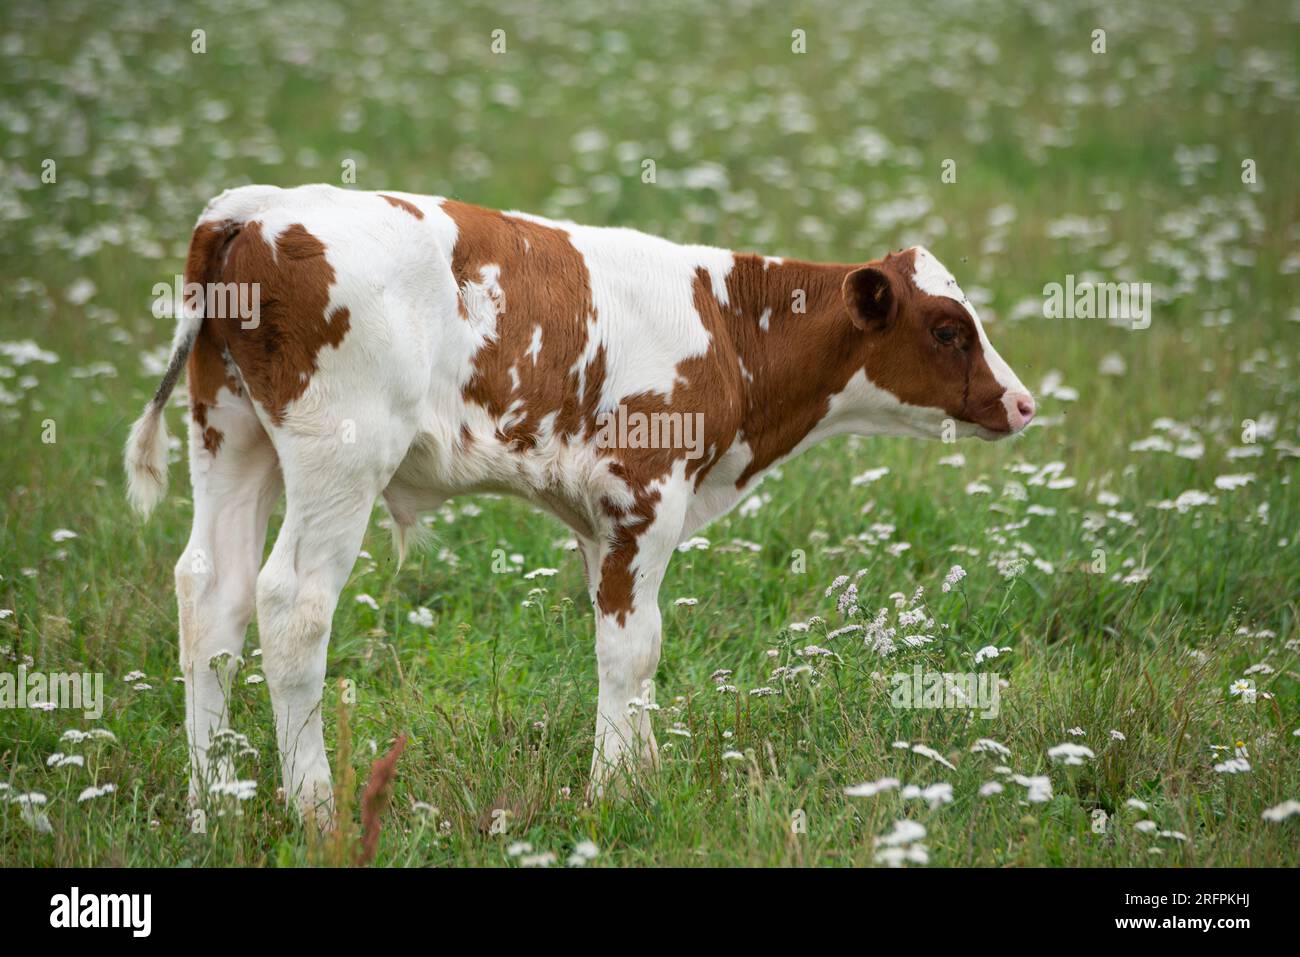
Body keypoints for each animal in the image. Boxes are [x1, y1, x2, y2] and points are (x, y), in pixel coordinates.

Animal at [124, 184, 1034, 819]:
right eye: (949, 328)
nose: (1022, 403)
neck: (728, 323)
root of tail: (257, 207)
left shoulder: (603, 522)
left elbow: (629, 645)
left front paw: (639, 774)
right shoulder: (647, 493)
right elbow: (632, 648)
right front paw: (614, 794)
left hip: (230, 433)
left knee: (211, 595)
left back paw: (212, 807)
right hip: (339, 455)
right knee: (292, 605)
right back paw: (315, 811)